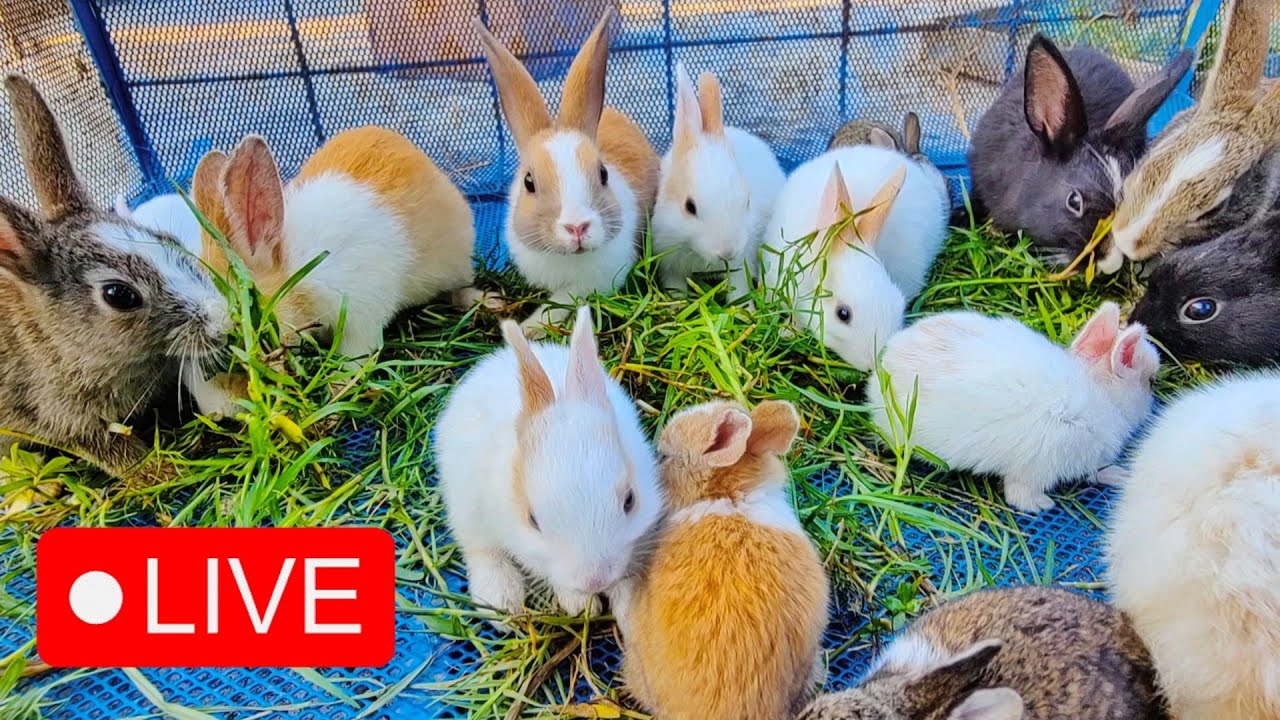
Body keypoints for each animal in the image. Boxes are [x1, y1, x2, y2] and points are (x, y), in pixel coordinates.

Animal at [0, 75, 231, 481]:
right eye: (119, 295)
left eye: (167, 240)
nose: (222, 320)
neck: (64, 345)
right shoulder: (61, 419)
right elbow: (113, 449)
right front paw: (161, 472)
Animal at [434, 306, 661, 623]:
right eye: (533, 520)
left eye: (630, 500)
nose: (595, 580)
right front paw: (581, 603)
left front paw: (627, 606)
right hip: (466, 510)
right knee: (481, 550)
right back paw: (501, 602)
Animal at [473, 8, 660, 336]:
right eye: (529, 182)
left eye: (603, 174)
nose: (577, 228)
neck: (566, 259)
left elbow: (557, 305)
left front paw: (525, 328)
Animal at [651, 63, 785, 297]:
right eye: (689, 207)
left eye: (747, 202)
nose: (727, 251)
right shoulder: (669, 264)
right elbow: (676, 290)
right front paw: (677, 303)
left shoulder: (741, 265)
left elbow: (738, 290)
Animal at [865, 302, 1159, 512]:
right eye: (1150, 382)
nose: (1153, 398)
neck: (1104, 397)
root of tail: (880, 374)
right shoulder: (1038, 468)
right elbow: (1020, 495)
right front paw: (1042, 505)